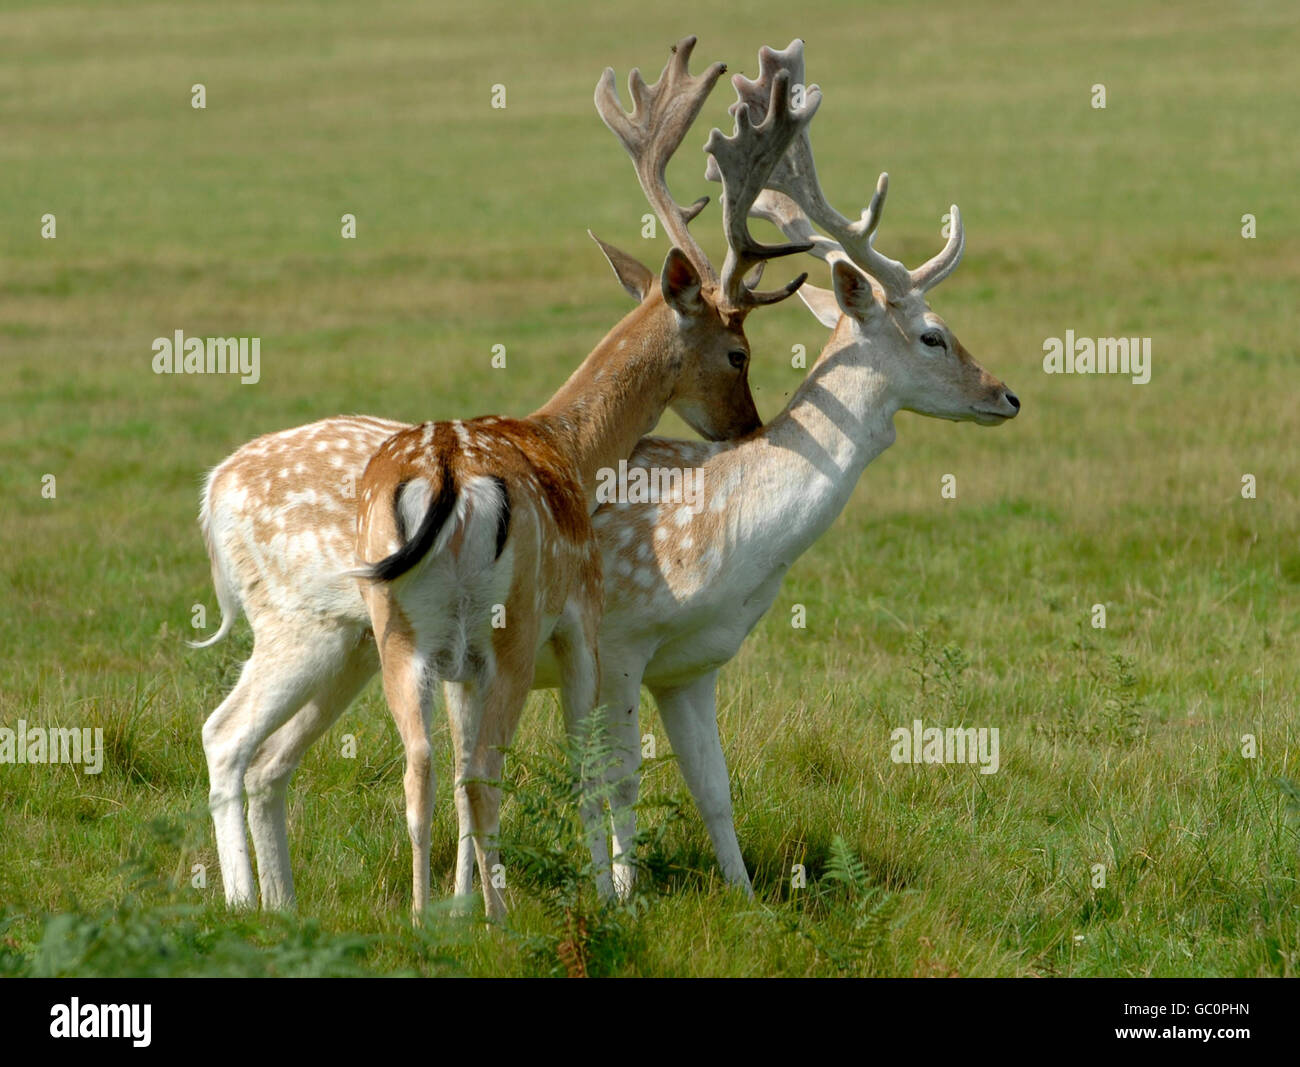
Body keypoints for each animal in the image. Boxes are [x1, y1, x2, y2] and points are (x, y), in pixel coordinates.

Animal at [194, 36, 812, 917]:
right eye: (738, 351)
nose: (749, 427)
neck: (566, 443)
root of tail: (213, 489)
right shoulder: (580, 624)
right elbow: (586, 768)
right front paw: (601, 895)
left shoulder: (455, 659)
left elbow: (459, 769)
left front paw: (464, 897)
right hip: (368, 623)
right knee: (234, 736)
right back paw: (270, 901)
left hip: (383, 634)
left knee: (385, 762)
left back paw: (360, 908)